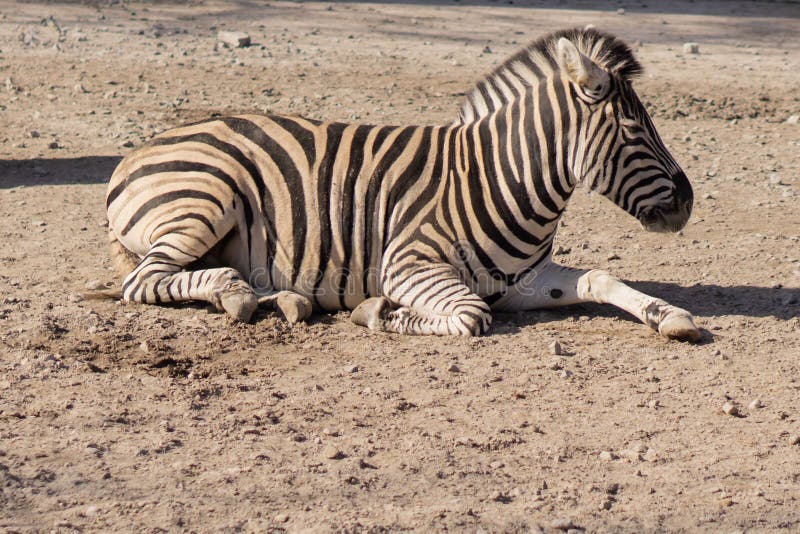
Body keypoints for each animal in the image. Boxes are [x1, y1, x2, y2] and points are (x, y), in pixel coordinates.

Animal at [103, 27, 700, 341]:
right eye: (634, 130)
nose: (689, 203)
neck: (501, 179)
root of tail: (140, 150)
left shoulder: (524, 281)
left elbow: (602, 278)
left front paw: (669, 314)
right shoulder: (408, 263)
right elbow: (468, 315)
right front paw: (380, 311)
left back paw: (283, 300)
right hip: (205, 200)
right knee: (145, 280)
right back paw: (233, 293)